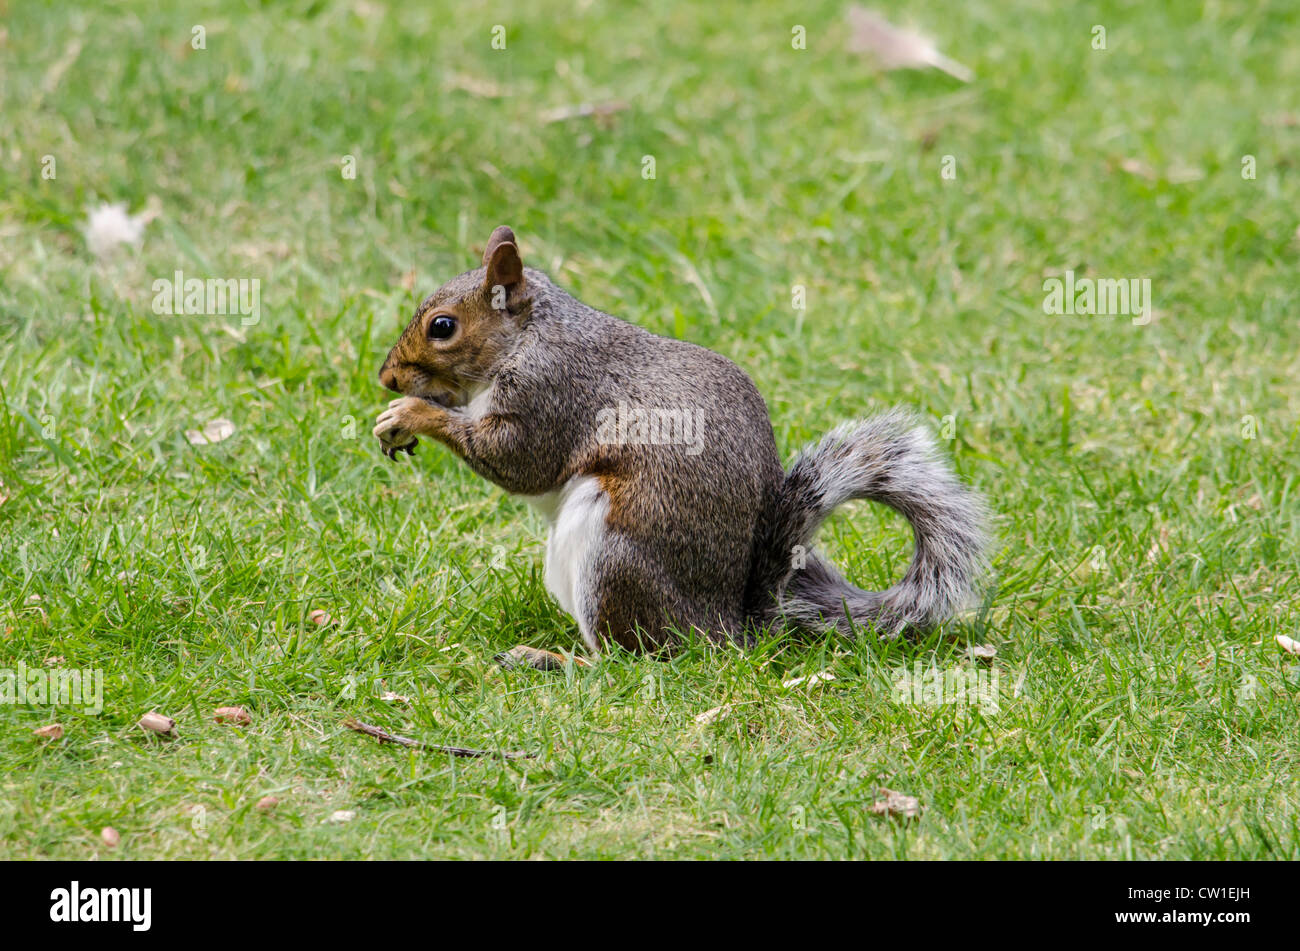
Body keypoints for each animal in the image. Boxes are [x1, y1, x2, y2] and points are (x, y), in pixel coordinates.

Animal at [374, 226, 990, 665]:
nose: (388, 378)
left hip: (612, 556)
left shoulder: (551, 394)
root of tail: (727, 628)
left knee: (631, 659)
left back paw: (556, 659)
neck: (528, 337)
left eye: (442, 326)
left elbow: (519, 462)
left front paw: (412, 414)